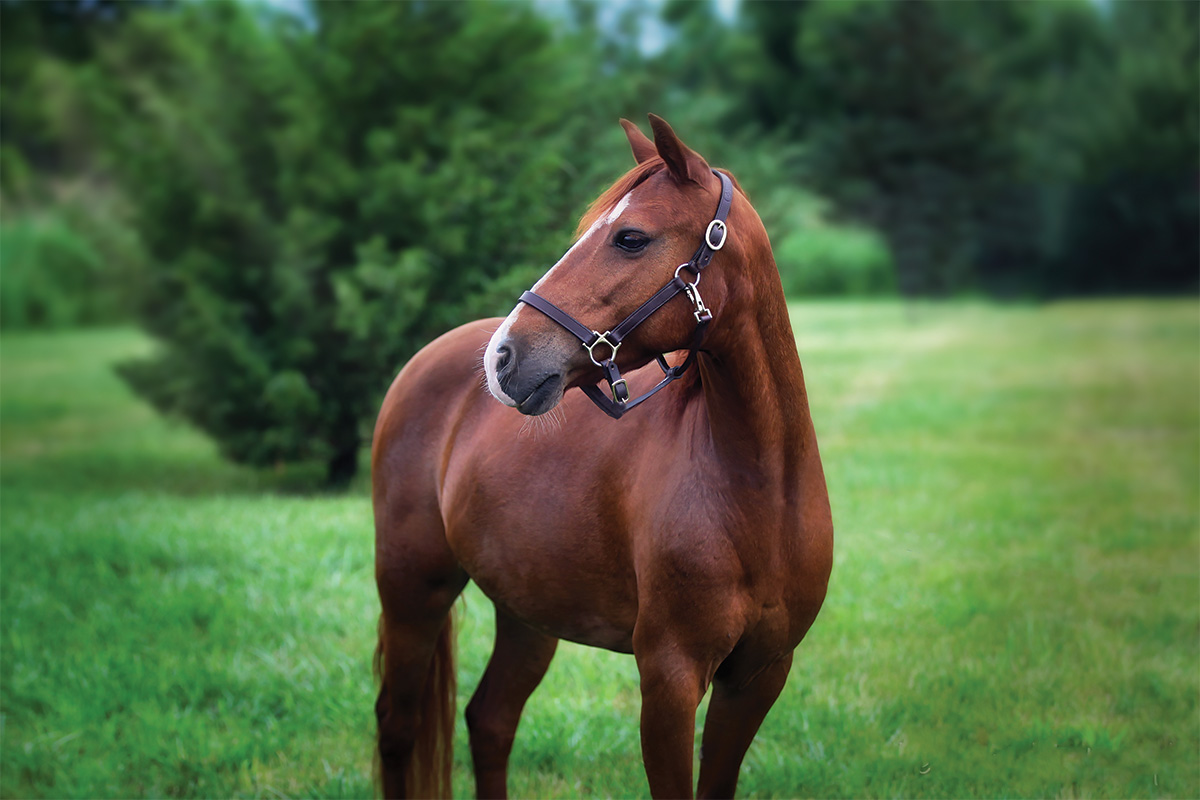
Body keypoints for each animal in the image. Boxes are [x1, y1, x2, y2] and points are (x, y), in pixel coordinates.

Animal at [372, 114, 833, 799]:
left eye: (630, 238)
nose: (503, 357)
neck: (759, 492)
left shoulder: (757, 678)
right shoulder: (669, 680)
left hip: (527, 612)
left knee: (490, 719)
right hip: (413, 593)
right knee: (398, 728)